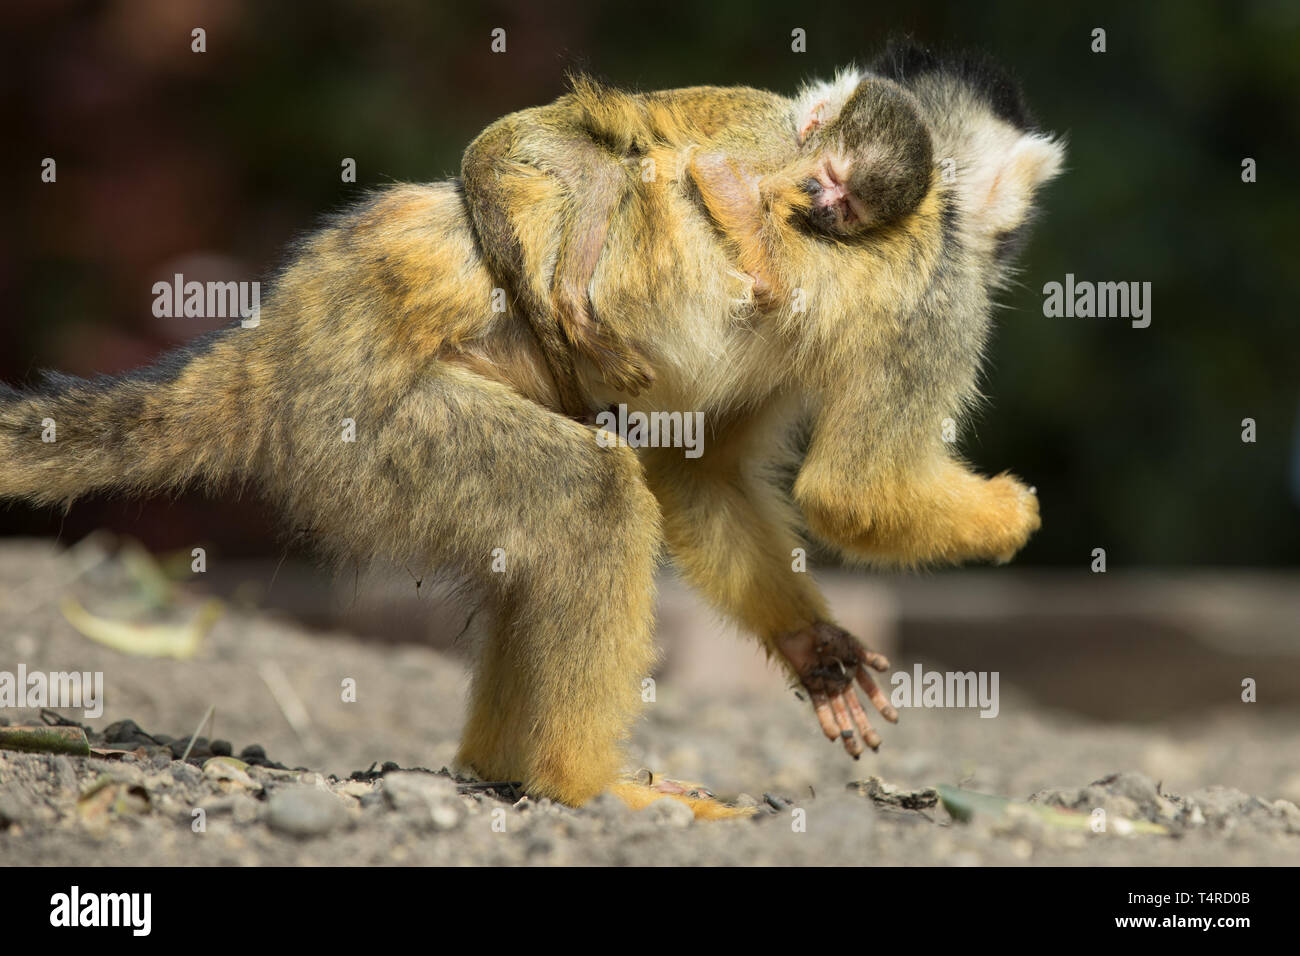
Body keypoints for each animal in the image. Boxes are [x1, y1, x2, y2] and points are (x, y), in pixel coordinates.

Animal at [0, 44, 1063, 814]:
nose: (824, 208)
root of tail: (276, 335)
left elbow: (698, 464)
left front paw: (816, 649)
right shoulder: (942, 298)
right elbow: (853, 497)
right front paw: (1012, 514)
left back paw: (499, 769)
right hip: (362, 422)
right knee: (590, 502)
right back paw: (580, 784)